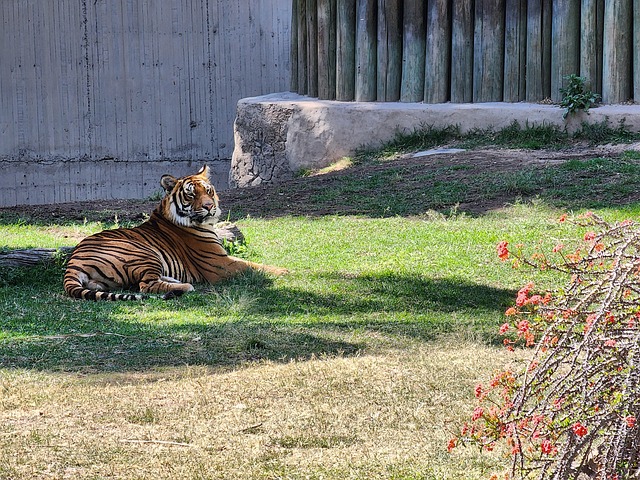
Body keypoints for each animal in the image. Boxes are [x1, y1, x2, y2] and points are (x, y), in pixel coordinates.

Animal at [63, 165, 287, 301]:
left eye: (208, 191)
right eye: (191, 194)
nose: (209, 206)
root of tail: (74, 260)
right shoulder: (219, 264)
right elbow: (254, 266)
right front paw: (285, 271)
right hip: (143, 253)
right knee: (146, 285)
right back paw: (184, 287)